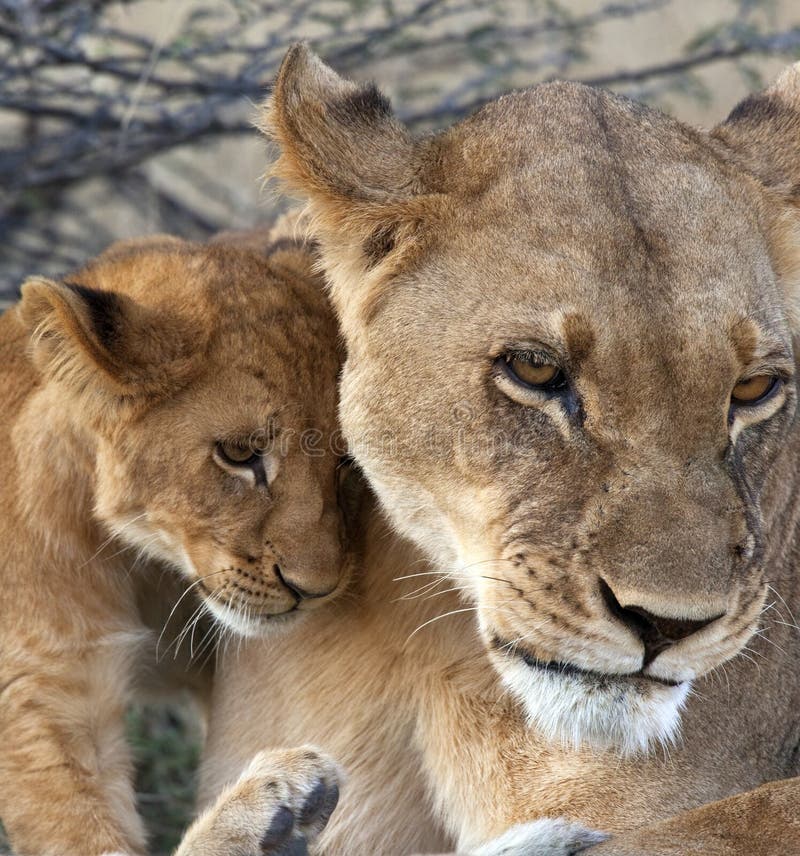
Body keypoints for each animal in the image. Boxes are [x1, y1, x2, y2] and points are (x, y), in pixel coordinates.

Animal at [0, 230, 350, 856]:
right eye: (238, 454)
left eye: (344, 459)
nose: (316, 590)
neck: (144, 566)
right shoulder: (45, 689)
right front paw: (264, 819)